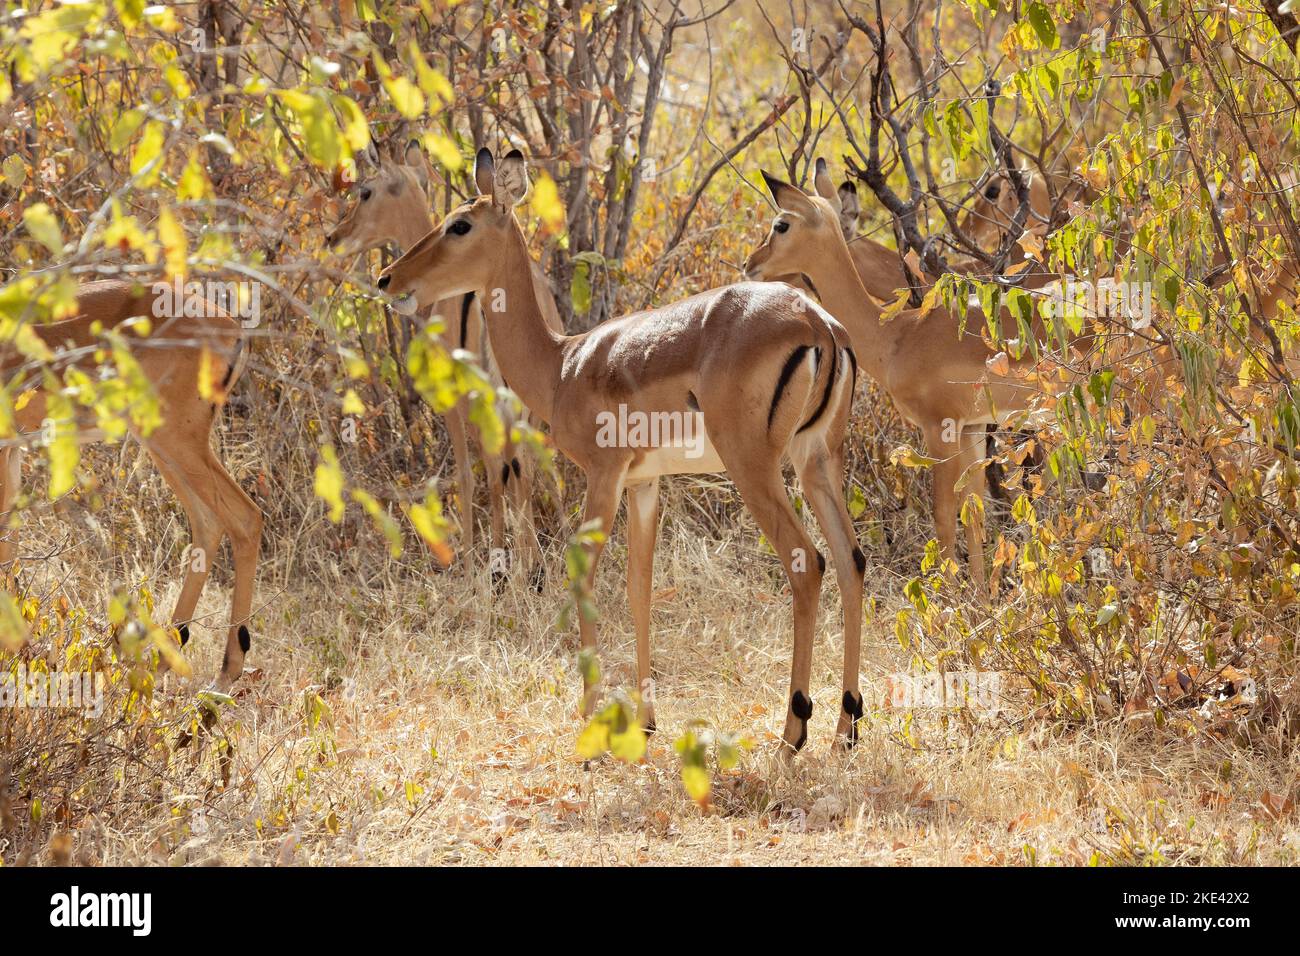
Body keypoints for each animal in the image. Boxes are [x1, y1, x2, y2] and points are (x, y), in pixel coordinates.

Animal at [0, 279, 261, 689]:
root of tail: (232, 328)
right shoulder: (12, 451)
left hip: (174, 438)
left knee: (245, 518)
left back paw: (224, 674)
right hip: (163, 444)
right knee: (208, 523)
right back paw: (167, 655)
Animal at [327, 139, 562, 581]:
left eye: (365, 191)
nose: (334, 235)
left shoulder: (455, 408)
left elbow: (468, 476)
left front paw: (472, 568)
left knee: (497, 473)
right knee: (525, 468)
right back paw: (530, 565)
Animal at [377, 148, 867, 754]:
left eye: (460, 225)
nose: (387, 278)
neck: (562, 365)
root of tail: (820, 324)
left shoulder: (603, 474)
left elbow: (584, 578)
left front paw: (591, 723)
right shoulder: (643, 482)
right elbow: (639, 586)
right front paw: (647, 719)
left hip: (755, 468)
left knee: (807, 562)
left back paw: (793, 732)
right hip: (816, 460)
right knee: (850, 560)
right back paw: (846, 727)